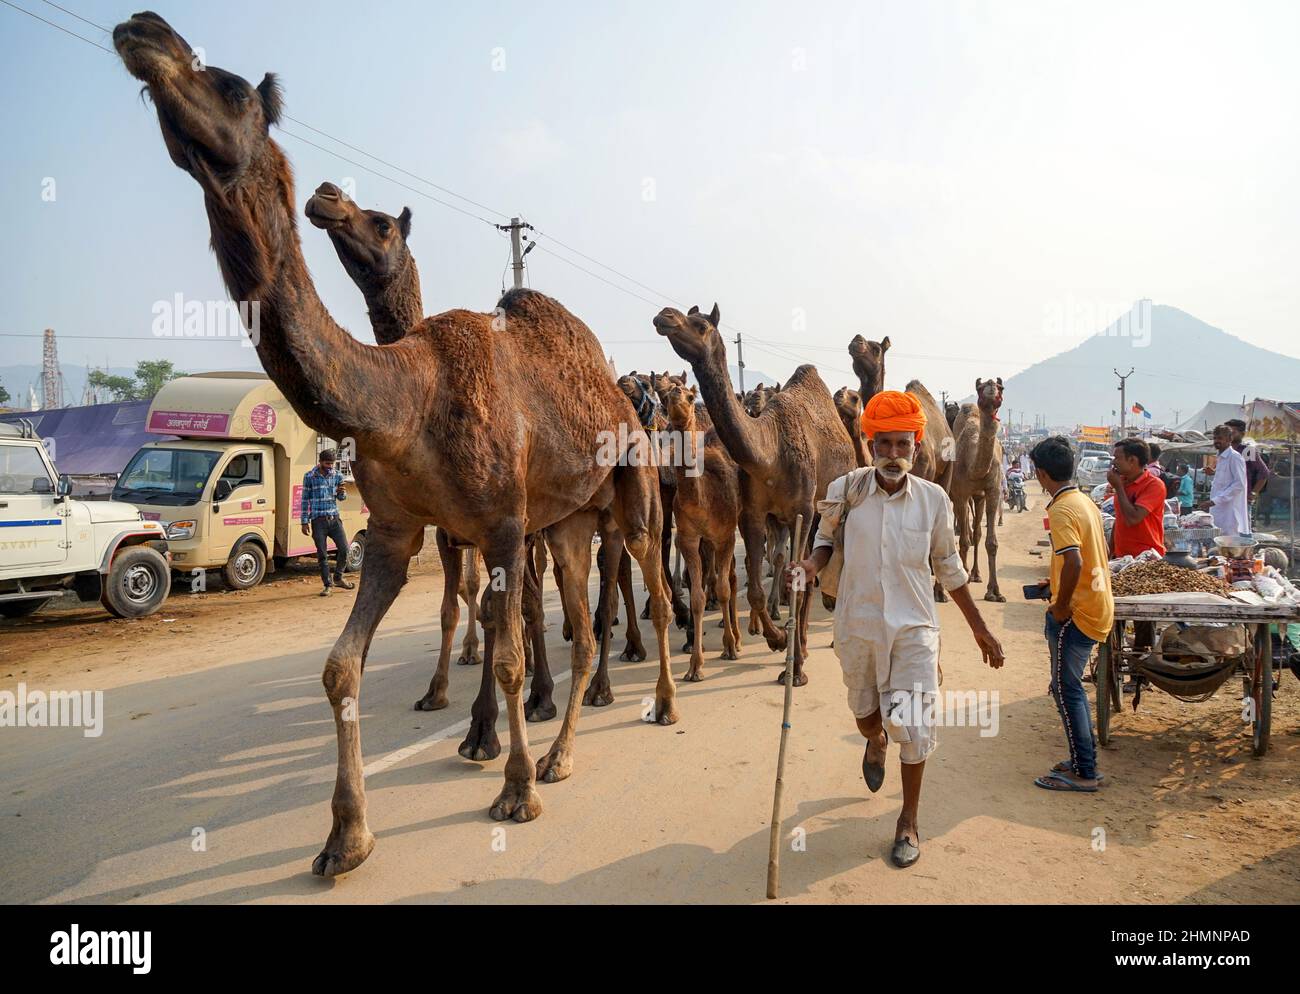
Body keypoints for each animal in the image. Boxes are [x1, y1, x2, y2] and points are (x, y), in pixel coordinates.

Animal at [114, 12, 676, 877]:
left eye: (234, 88)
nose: (143, 29)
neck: (407, 399)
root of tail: (623, 394)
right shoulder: (393, 529)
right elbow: (341, 665)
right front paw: (346, 835)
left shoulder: (501, 523)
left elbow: (507, 650)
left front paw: (512, 787)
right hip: (567, 520)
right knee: (582, 628)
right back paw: (563, 751)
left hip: (630, 491)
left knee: (647, 577)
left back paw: (660, 703)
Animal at [663, 384, 742, 681]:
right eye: (664, 398)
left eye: (689, 395)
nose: (675, 394)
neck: (703, 498)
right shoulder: (689, 537)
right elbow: (697, 597)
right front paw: (695, 665)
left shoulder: (725, 535)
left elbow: (723, 588)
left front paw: (729, 647)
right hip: (707, 541)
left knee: (731, 578)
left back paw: (738, 638)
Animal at [949, 378, 1006, 602]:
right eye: (980, 390)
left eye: (1001, 389)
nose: (991, 386)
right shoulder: (960, 494)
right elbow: (963, 540)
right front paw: (962, 576)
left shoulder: (992, 491)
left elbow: (991, 542)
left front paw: (995, 591)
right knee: (966, 533)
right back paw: (967, 573)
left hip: (979, 498)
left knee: (977, 533)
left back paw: (976, 574)